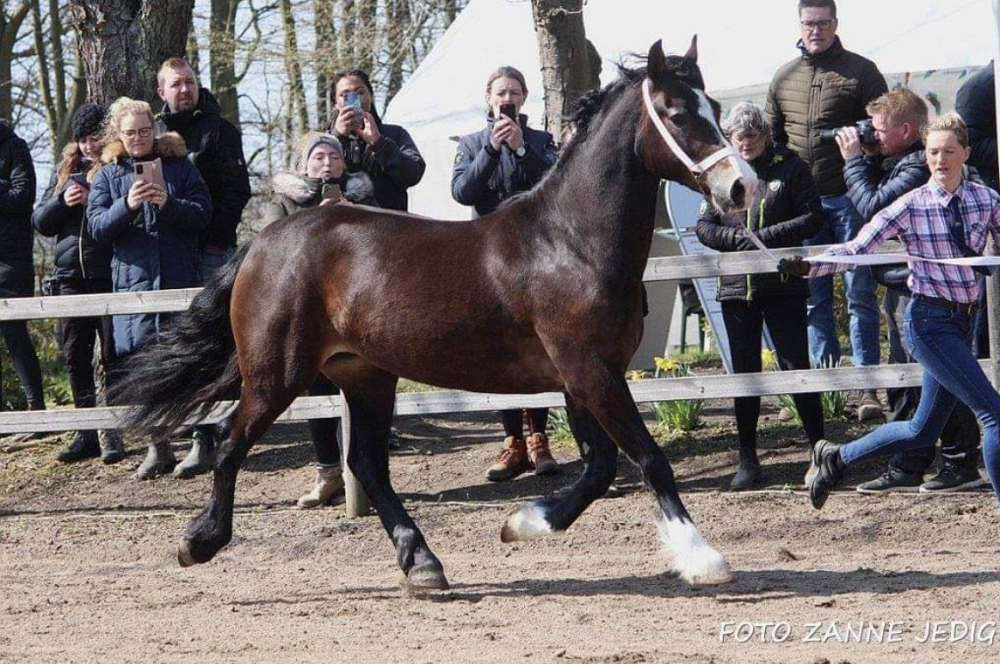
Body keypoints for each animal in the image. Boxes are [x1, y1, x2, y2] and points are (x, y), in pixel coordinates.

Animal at [118, 37, 757, 589]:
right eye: (677, 112)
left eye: (714, 107)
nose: (742, 187)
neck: (570, 243)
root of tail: (264, 241)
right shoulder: (591, 373)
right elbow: (647, 458)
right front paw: (702, 558)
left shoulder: (582, 378)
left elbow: (600, 469)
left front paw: (522, 523)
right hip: (279, 373)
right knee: (232, 442)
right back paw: (200, 542)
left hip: (365, 375)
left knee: (367, 464)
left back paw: (422, 562)